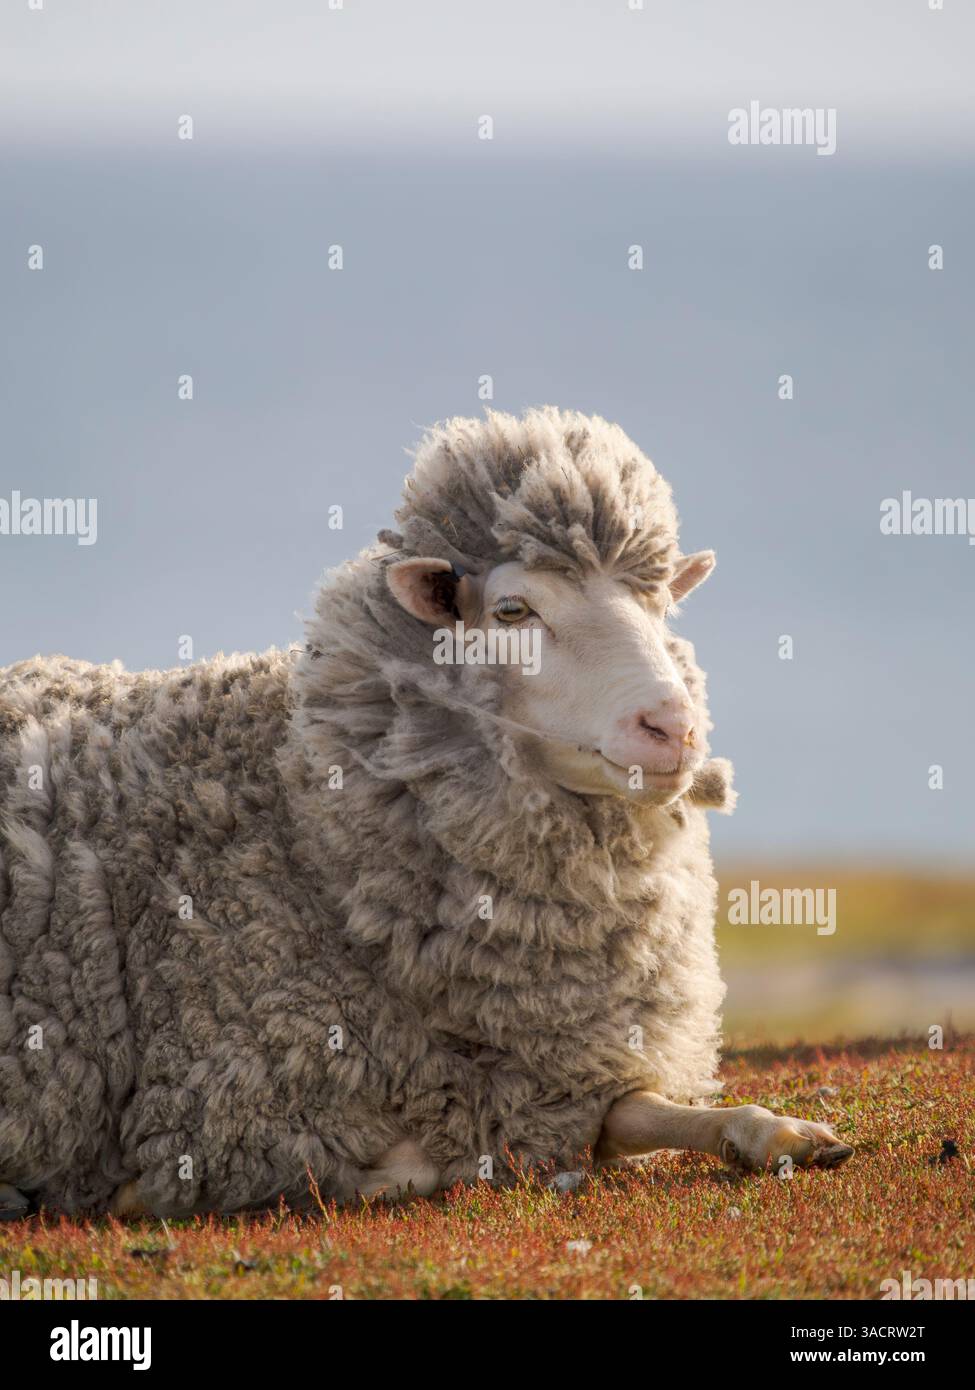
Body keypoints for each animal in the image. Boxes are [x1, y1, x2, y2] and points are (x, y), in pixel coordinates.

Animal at [0, 407, 852, 1218]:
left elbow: (640, 1110)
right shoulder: (227, 1107)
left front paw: (782, 1132)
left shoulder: (556, 1073)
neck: (305, 831)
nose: (672, 728)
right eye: (512, 610)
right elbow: (412, 1165)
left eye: (658, 607)